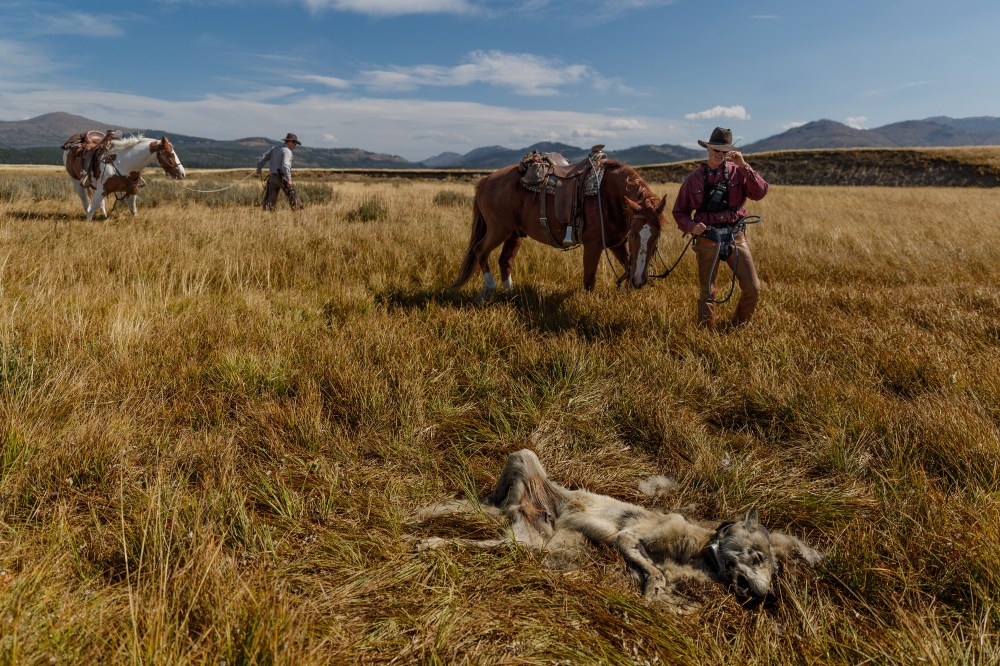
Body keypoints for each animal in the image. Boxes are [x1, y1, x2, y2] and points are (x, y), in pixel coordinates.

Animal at [413, 449, 822, 606]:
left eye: (775, 568)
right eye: (757, 557)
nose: (770, 596)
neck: (697, 546)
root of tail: (521, 511)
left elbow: (654, 570)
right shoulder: (630, 537)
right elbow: (655, 570)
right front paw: (653, 592)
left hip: (526, 541)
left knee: (485, 533)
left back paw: (431, 540)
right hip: (523, 459)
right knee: (484, 504)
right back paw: (424, 519)